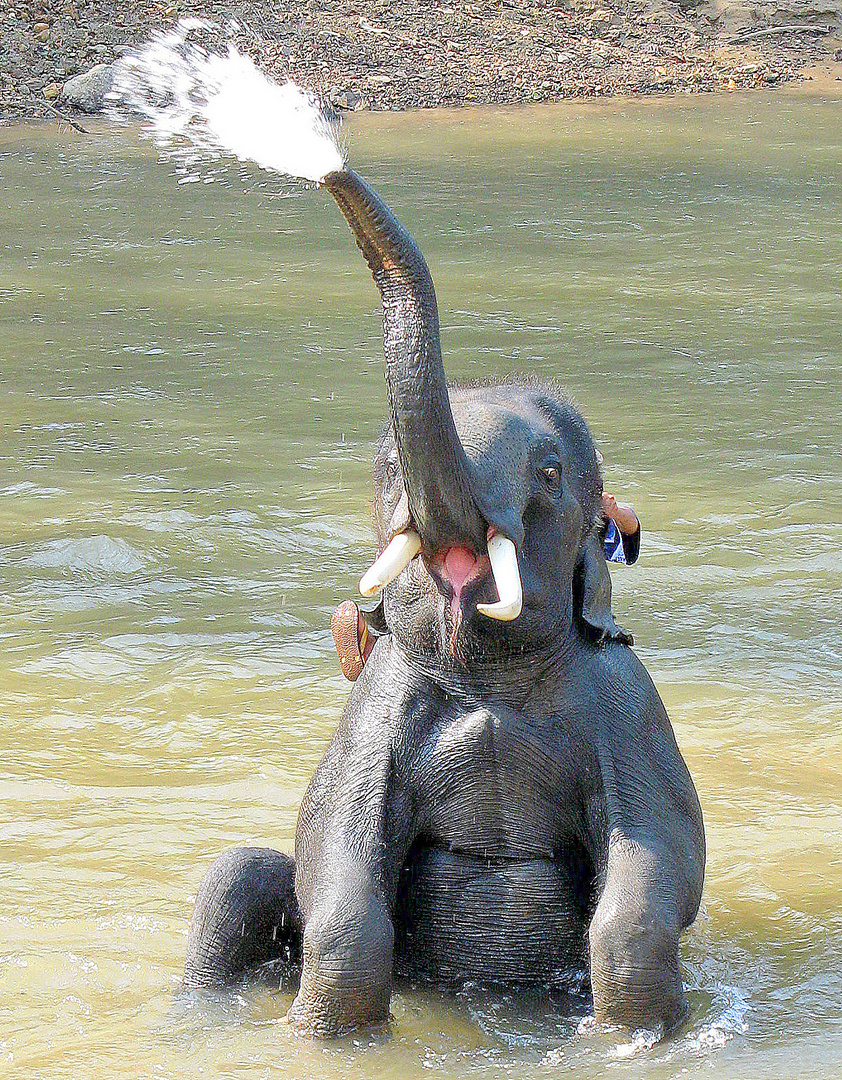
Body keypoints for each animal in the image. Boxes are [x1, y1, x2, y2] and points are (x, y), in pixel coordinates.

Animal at [182, 162, 703, 1036]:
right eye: (393, 467)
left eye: (550, 474)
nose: (329, 164)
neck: (487, 671)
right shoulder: (378, 706)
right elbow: (335, 856)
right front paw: (324, 1038)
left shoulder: (628, 705)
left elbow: (661, 864)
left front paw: (631, 1039)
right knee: (239, 872)